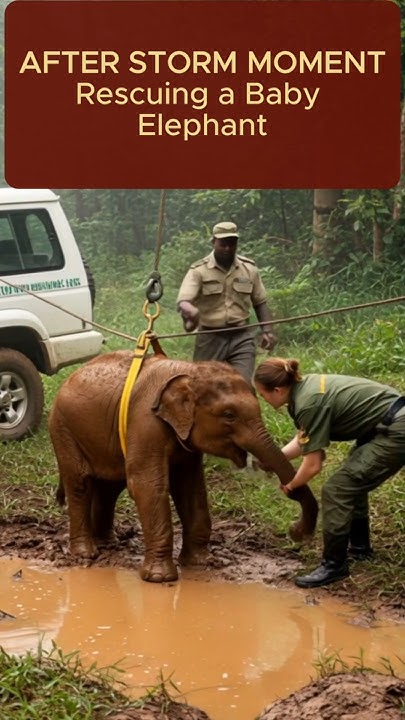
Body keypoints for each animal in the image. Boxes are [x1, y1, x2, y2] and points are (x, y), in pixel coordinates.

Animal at [49, 351, 318, 583]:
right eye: (229, 415)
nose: (296, 532)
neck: (189, 371)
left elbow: (190, 487)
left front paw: (200, 563)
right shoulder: (145, 421)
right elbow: (147, 485)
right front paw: (160, 578)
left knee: (110, 486)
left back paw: (108, 543)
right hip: (63, 427)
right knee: (81, 483)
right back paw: (85, 553)